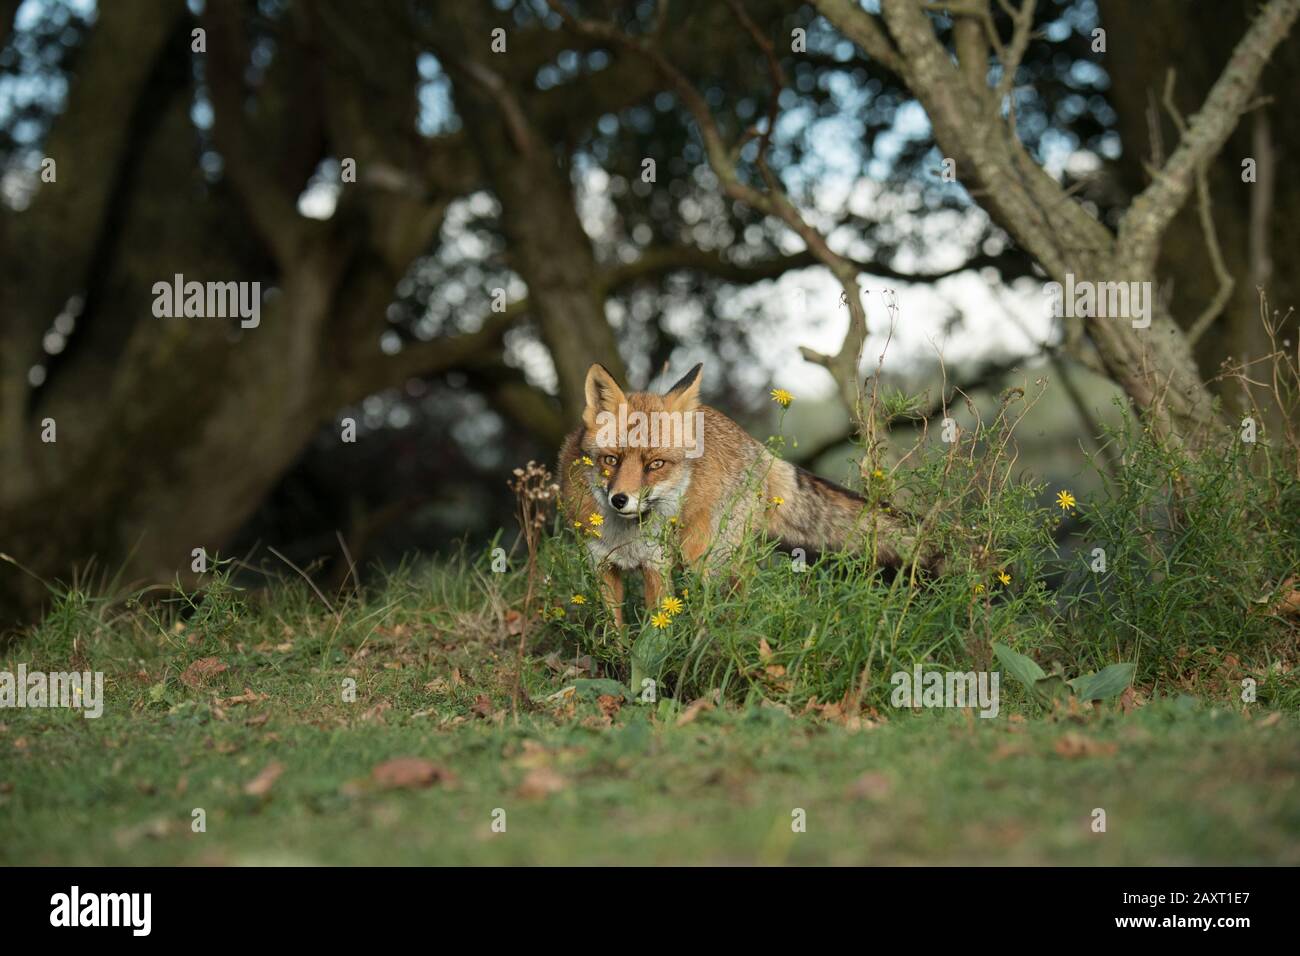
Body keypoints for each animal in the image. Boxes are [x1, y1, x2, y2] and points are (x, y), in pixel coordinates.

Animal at [557, 362, 936, 626]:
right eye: (611, 460)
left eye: (656, 464)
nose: (620, 500)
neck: (624, 539)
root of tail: (755, 446)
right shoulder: (602, 567)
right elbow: (613, 631)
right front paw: (618, 661)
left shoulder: (657, 567)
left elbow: (657, 630)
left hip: (704, 558)